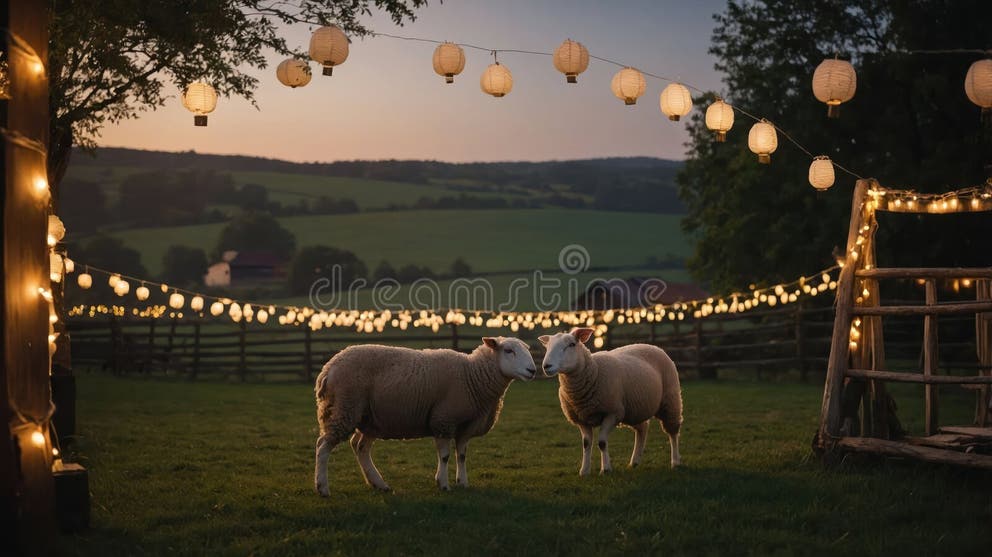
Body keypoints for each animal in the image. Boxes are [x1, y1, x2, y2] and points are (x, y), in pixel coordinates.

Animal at [314, 336, 537, 496]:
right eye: (508, 350)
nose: (533, 370)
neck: (472, 375)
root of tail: (328, 368)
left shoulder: (465, 426)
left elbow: (462, 456)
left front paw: (463, 482)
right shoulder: (443, 419)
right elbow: (445, 456)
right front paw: (443, 484)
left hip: (370, 418)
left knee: (360, 447)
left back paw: (379, 484)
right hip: (344, 409)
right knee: (323, 446)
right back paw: (322, 488)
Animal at [539, 327, 682, 475]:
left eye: (571, 344)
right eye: (547, 347)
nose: (546, 366)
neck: (594, 371)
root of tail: (651, 345)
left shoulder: (613, 413)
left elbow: (602, 442)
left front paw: (606, 469)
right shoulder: (581, 418)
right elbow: (586, 444)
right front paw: (584, 471)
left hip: (670, 400)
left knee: (673, 432)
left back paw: (675, 462)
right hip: (634, 409)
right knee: (642, 429)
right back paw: (634, 462)